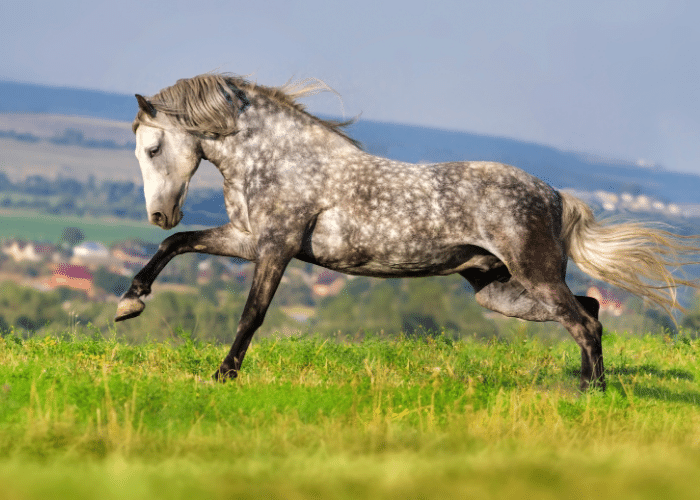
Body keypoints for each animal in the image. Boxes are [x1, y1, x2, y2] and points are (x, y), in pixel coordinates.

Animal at [115, 73, 699, 391]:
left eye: (153, 148)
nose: (159, 213)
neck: (283, 160)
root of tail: (557, 198)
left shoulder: (275, 248)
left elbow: (252, 314)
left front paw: (223, 376)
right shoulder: (246, 239)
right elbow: (176, 246)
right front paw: (130, 302)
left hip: (533, 277)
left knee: (584, 322)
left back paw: (592, 394)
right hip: (499, 290)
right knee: (590, 310)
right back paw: (586, 384)